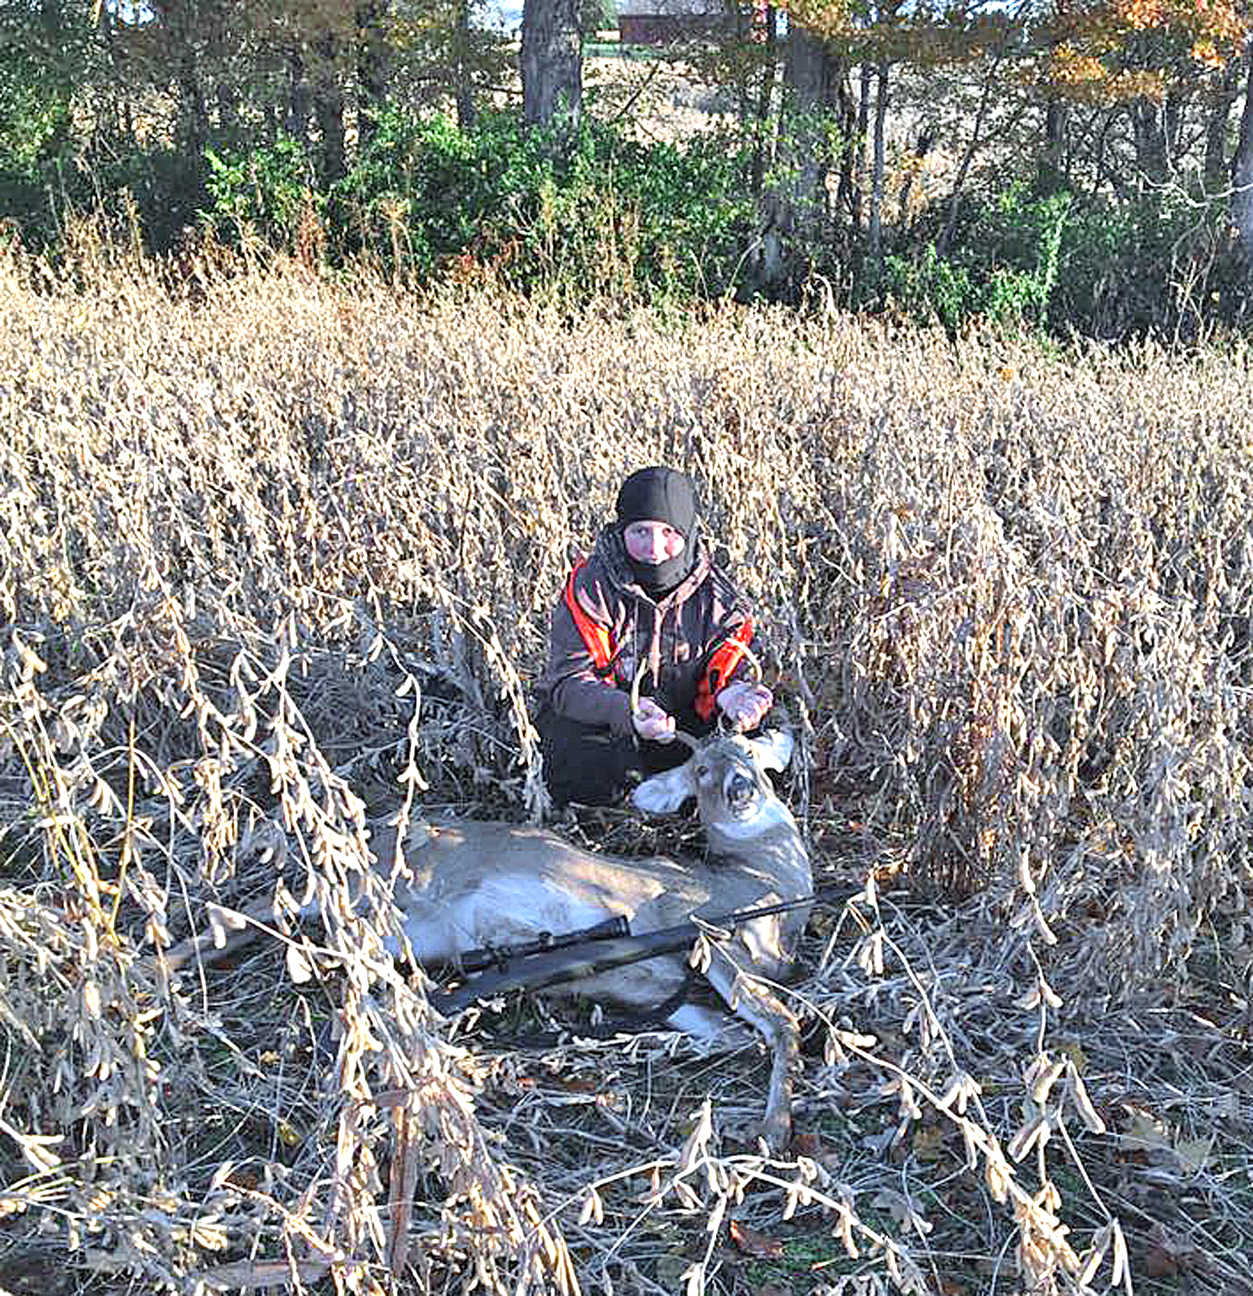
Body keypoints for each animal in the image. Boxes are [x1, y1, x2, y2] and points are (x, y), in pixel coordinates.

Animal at [166, 667, 812, 1151]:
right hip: (378, 881)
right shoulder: (701, 930)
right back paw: (158, 965)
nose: (740, 790)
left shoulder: (669, 990)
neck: (761, 878)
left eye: (749, 754)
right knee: (253, 905)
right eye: (700, 771)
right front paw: (773, 1128)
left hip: (394, 928)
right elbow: (783, 1021)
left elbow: (728, 1033)